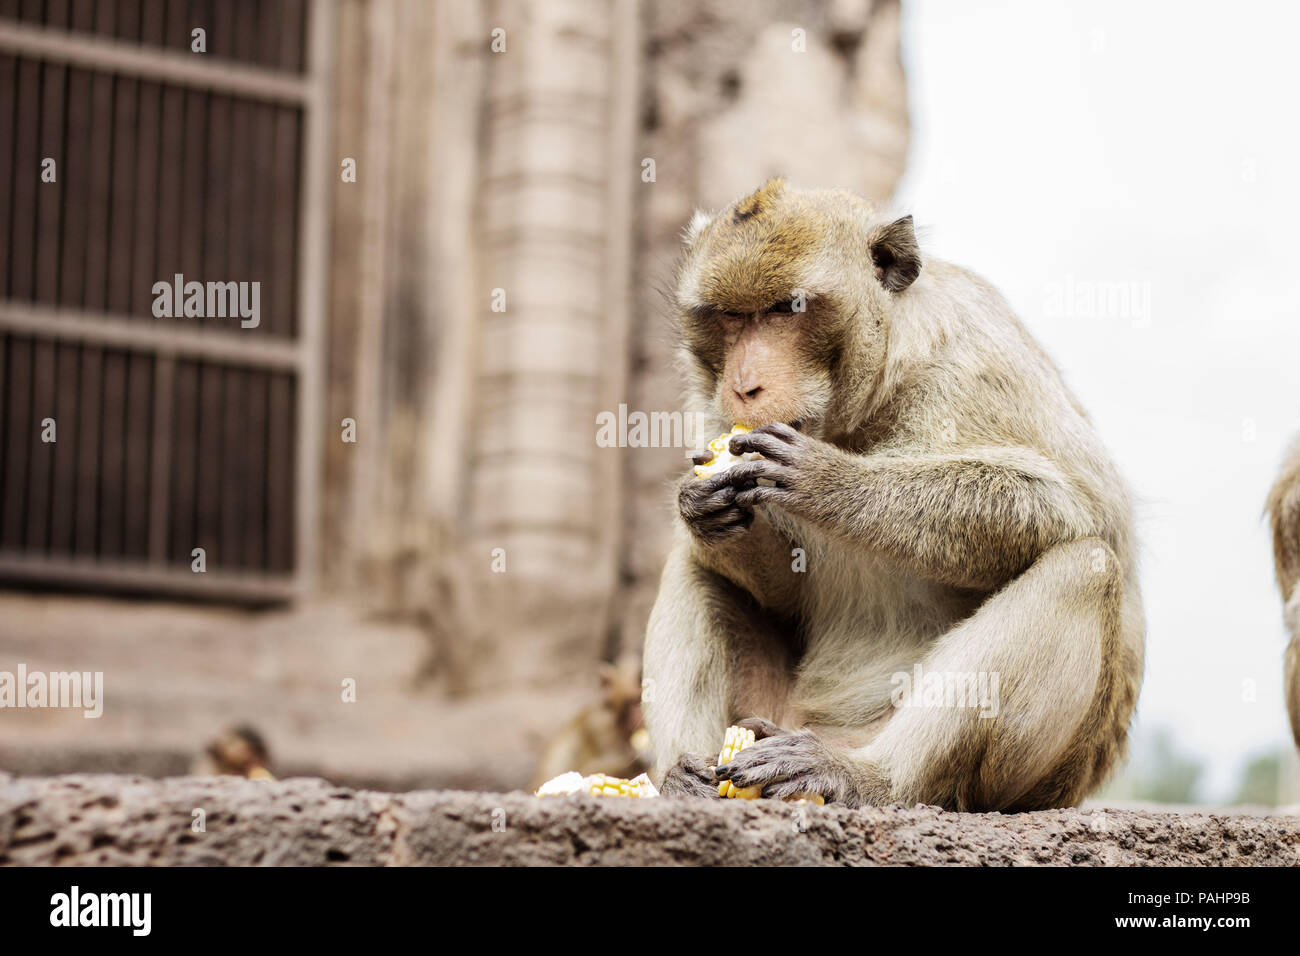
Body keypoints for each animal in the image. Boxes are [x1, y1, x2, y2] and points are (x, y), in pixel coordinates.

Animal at [641, 178, 1145, 812]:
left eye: (785, 310)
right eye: (731, 318)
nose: (743, 385)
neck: (867, 405)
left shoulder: (975, 354)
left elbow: (1069, 505)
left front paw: (829, 482)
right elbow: (779, 590)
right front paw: (701, 507)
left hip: (1027, 782)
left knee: (1085, 564)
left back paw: (867, 776)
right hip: (772, 714)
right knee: (694, 566)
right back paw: (683, 781)